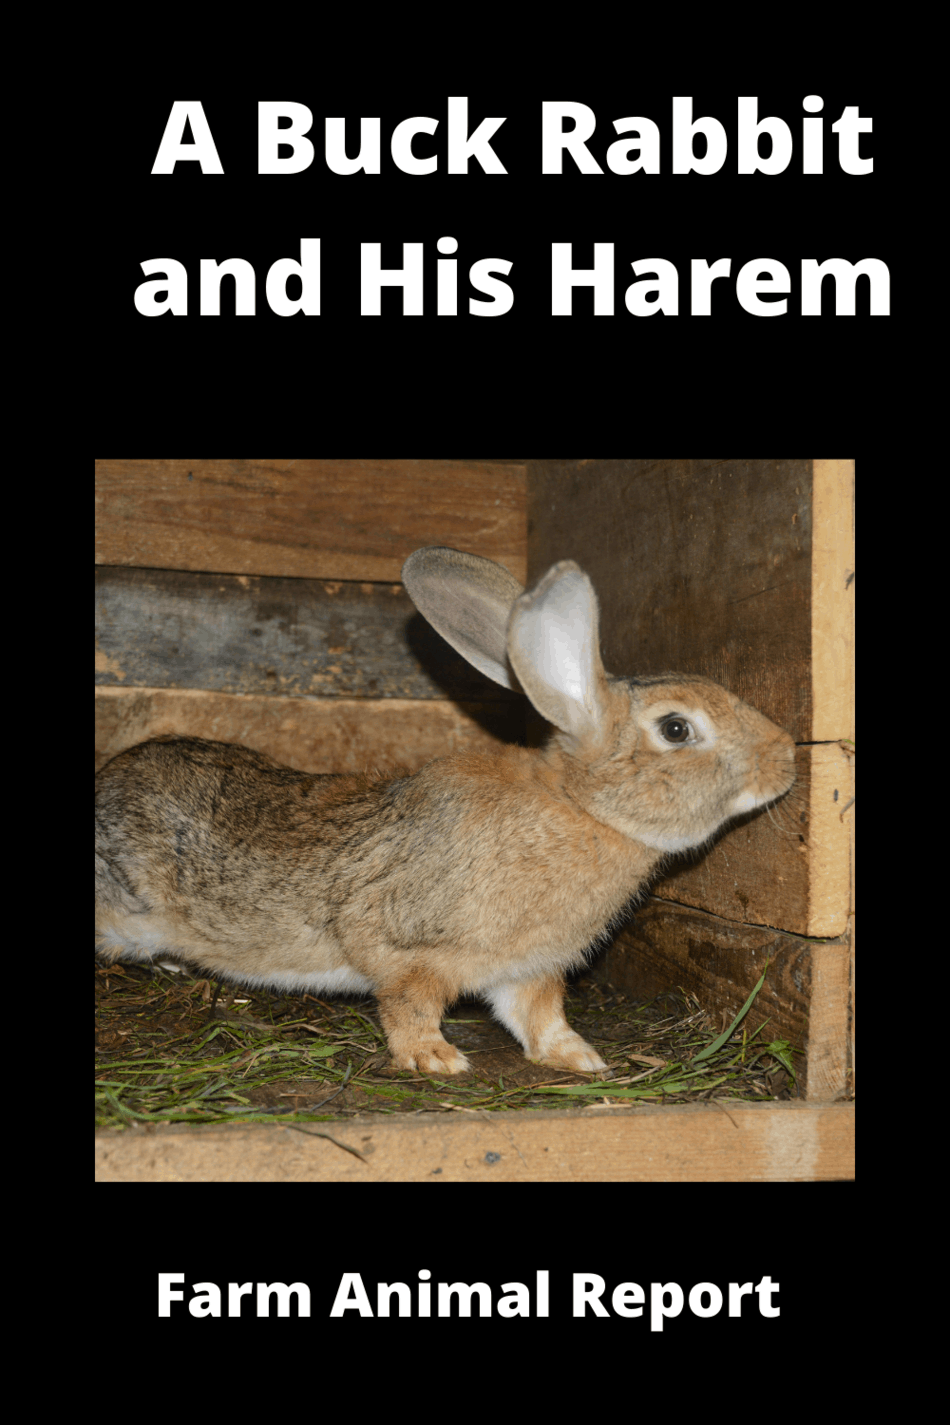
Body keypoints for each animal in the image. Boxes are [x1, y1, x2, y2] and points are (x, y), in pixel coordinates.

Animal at [95, 546, 796, 1077]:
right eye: (677, 729)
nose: (787, 757)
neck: (582, 809)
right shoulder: (408, 949)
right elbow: (407, 1004)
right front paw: (436, 1060)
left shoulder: (529, 971)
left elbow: (540, 1017)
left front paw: (579, 1058)